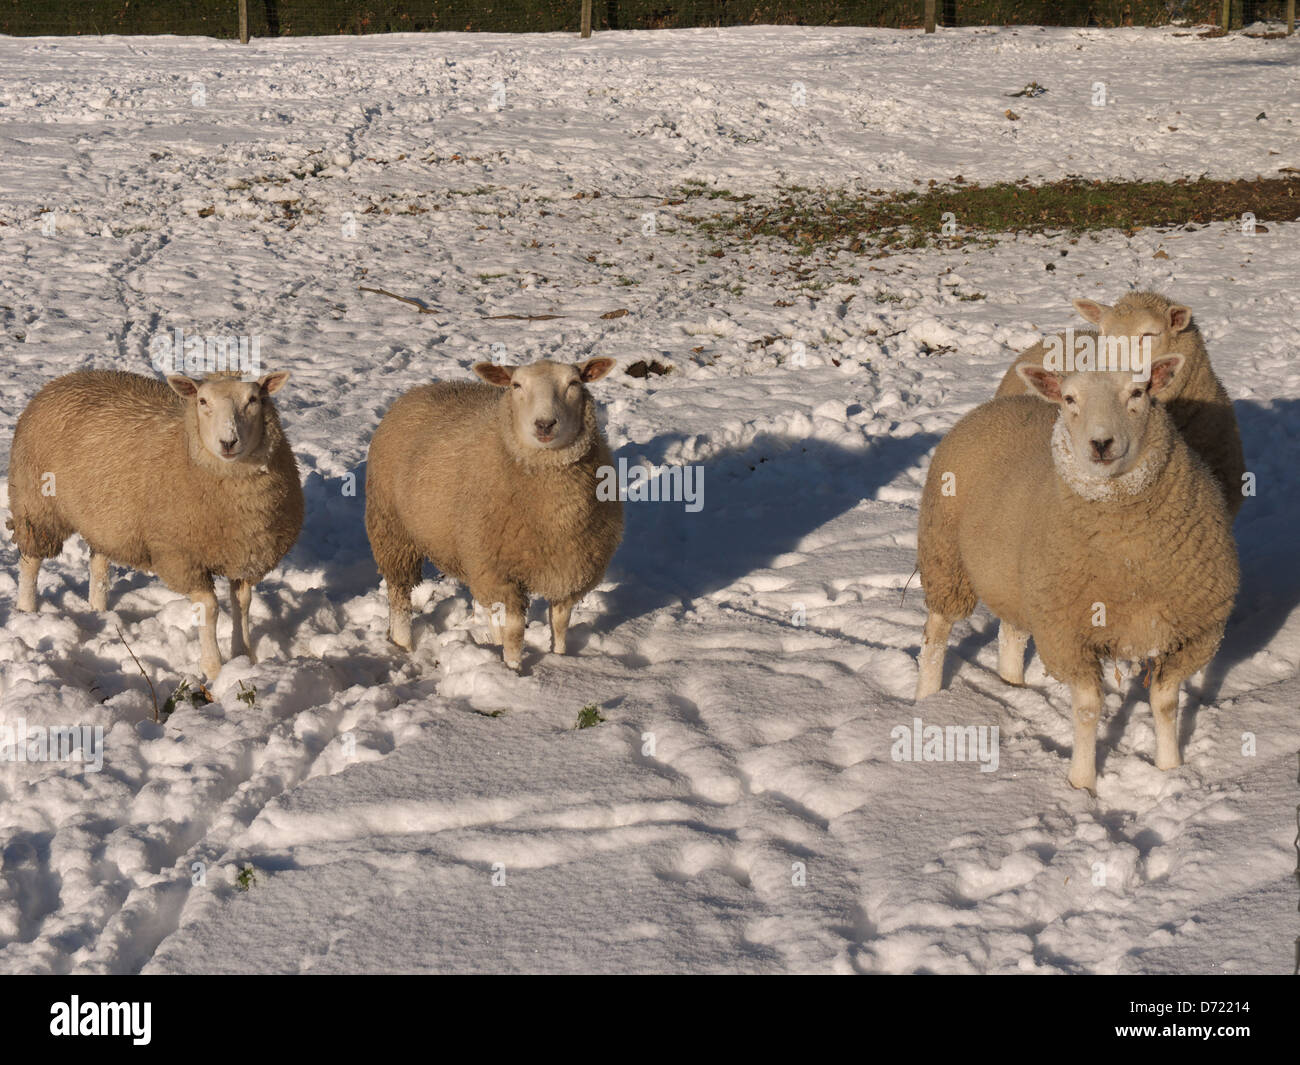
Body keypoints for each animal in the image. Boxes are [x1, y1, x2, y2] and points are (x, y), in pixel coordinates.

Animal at [7, 369, 303, 680]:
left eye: (253, 400)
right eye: (202, 401)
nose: (228, 442)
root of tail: (67, 377)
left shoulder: (246, 555)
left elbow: (242, 603)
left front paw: (243, 659)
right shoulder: (183, 557)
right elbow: (209, 608)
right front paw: (213, 669)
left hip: (104, 517)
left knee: (99, 561)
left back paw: (98, 610)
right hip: (37, 504)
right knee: (31, 561)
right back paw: (27, 610)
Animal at [364, 357, 623, 670]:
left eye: (574, 383)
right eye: (516, 385)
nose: (545, 424)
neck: (554, 516)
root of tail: (422, 388)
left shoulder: (570, 569)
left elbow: (560, 625)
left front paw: (559, 660)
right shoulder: (502, 572)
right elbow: (514, 633)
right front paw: (512, 670)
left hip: (471, 554)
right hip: (392, 528)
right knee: (399, 593)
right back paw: (403, 645)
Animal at [916, 355, 1238, 791]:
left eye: (1138, 392)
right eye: (1069, 399)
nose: (1101, 444)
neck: (1129, 555)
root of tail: (1001, 403)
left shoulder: (1194, 632)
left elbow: (1166, 703)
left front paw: (1170, 769)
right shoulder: (1068, 636)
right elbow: (1088, 710)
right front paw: (1082, 783)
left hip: (1021, 583)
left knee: (1012, 633)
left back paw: (1011, 683)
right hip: (945, 555)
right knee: (936, 633)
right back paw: (928, 699)